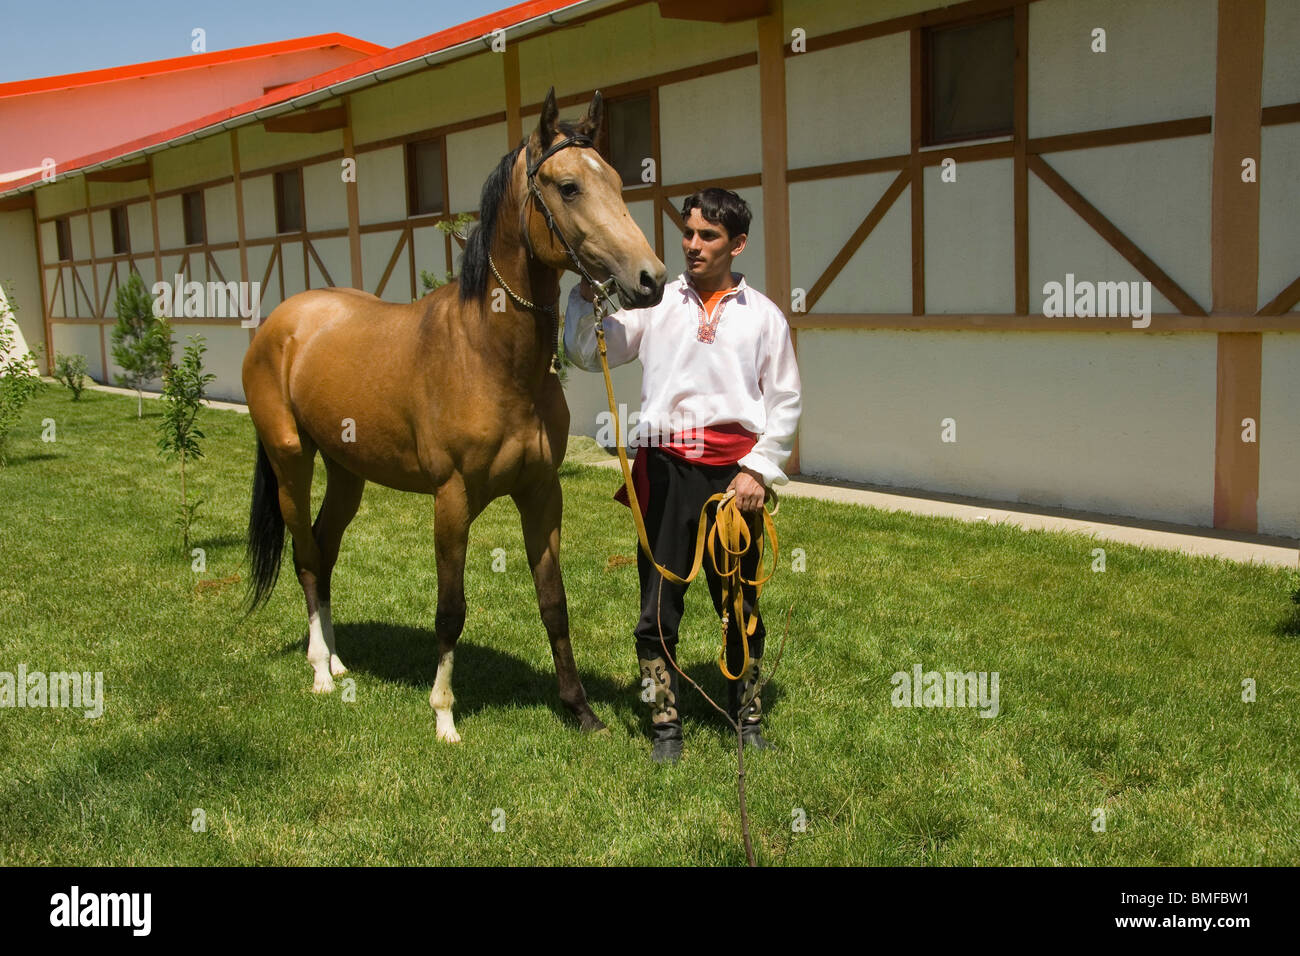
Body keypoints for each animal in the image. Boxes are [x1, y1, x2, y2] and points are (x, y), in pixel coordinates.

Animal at [241, 88, 667, 742]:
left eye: (619, 181)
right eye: (569, 187)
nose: (651, 279)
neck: (488, 354)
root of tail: (282, 324)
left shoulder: (541, 492)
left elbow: (554, 602)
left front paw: (580, 709)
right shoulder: (452, 499)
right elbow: (451, 609)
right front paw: (443, 714)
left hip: (347, 473)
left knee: (325, 550)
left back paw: (338, 662)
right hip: (292, 461)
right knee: (307, 558)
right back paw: (319, 672)